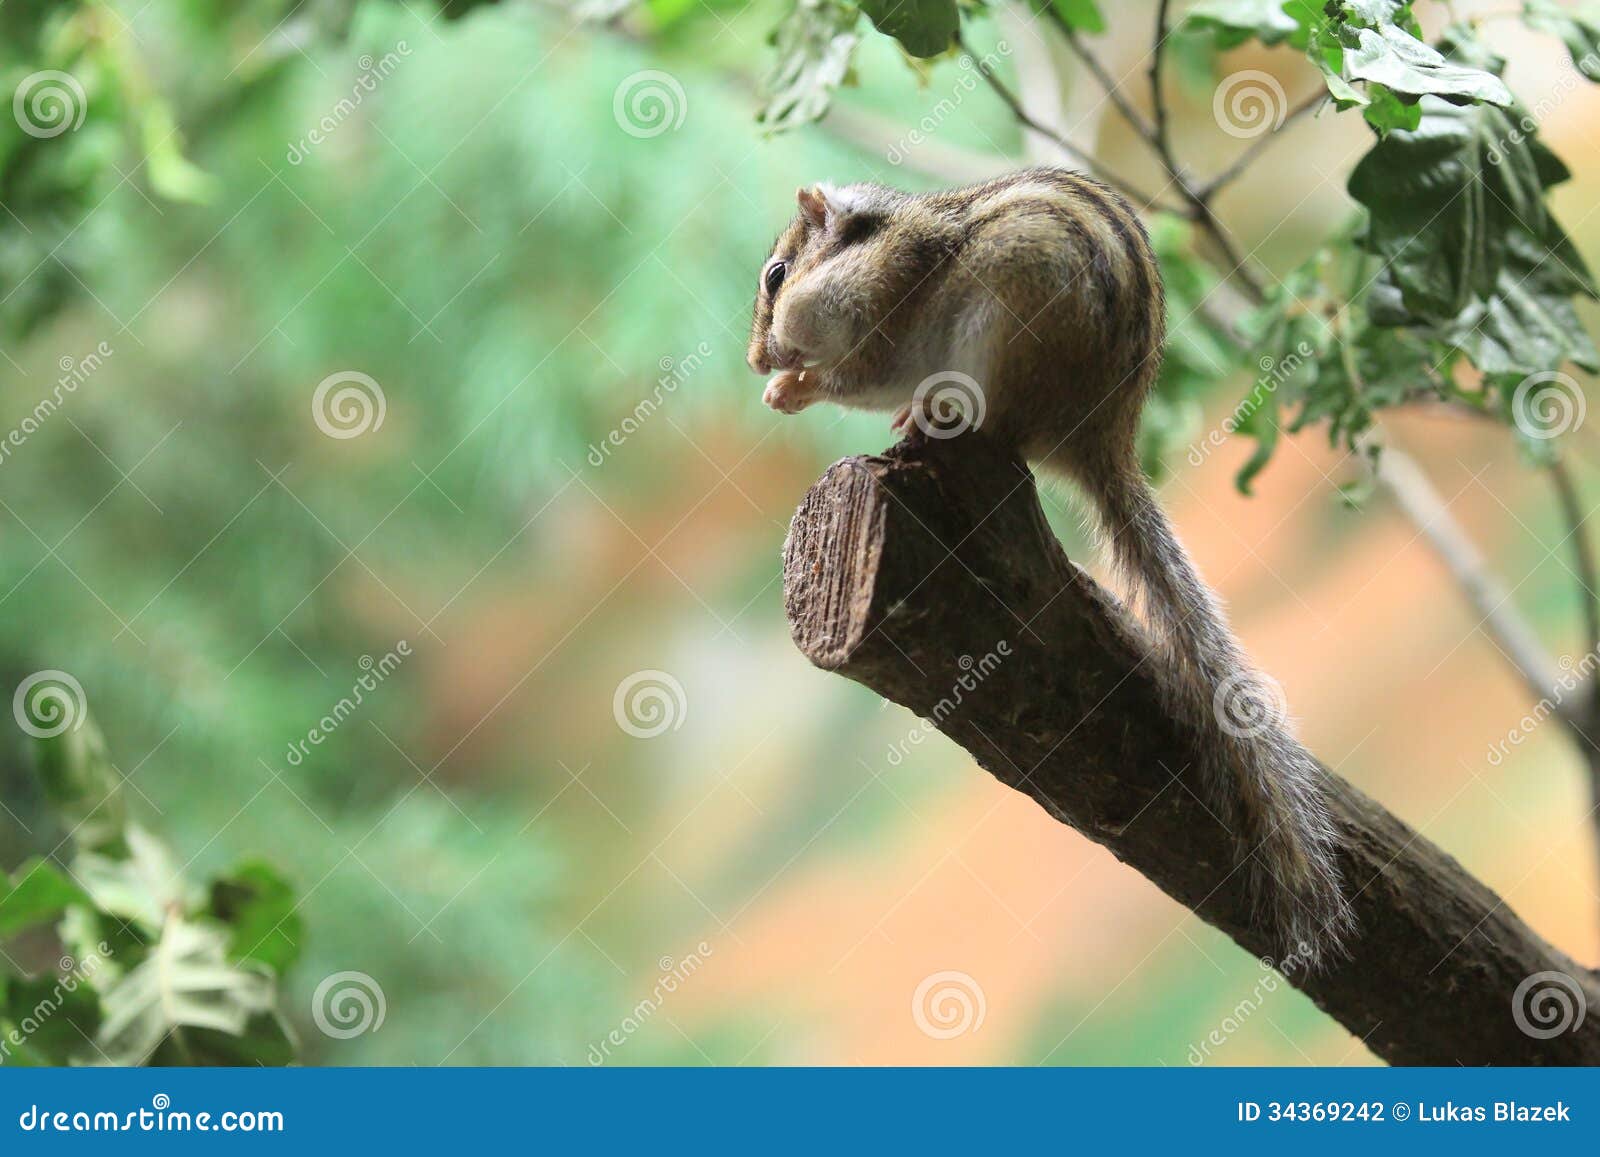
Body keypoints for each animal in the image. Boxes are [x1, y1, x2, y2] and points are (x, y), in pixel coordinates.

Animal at [746, 167, 1354, 966]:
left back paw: (932, 413)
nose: (755, 361)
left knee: (997, 427)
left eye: (777, 276)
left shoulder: (881, 312)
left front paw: (791, 388)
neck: (881, 241)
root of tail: (1100, 440)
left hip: (1003, 327)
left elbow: (859, 375)